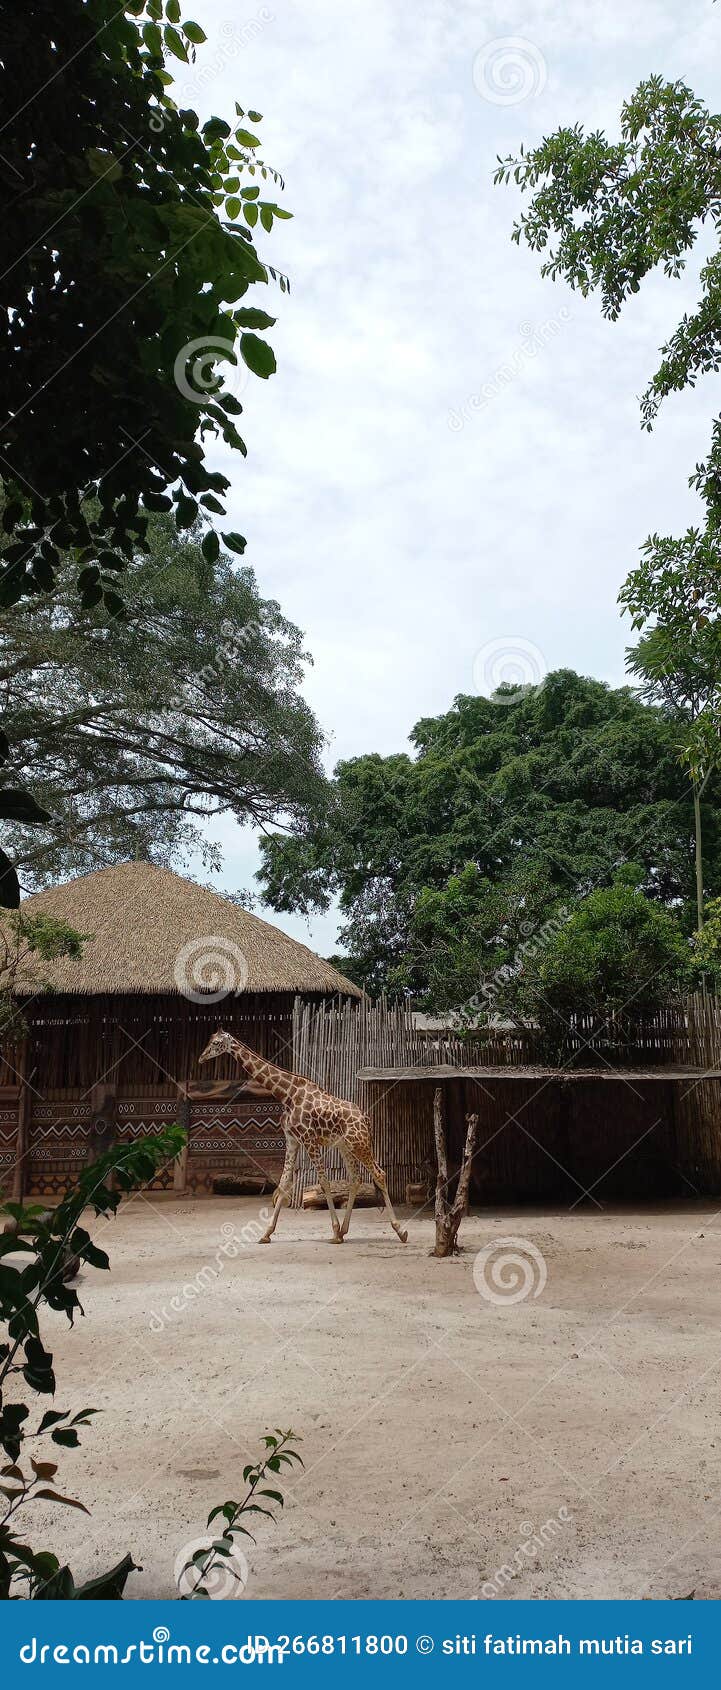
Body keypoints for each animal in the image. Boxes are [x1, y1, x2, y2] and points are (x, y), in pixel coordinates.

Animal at [197, 1030, 408, 1245]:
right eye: (209, 1040)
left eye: (216, 1043)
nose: (201, 1058)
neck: (287, 1094)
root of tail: (365, 1118)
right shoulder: (292, 1139)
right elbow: (283, 1183)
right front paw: (266, 1234)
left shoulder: (308, 1139)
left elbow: (324, 1182)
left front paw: (333, 1231)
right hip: (345, 1146)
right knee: (356, 1179)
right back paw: (344, 1231)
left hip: (360, 1143)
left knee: (379, 1174)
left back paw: (399, 1231)